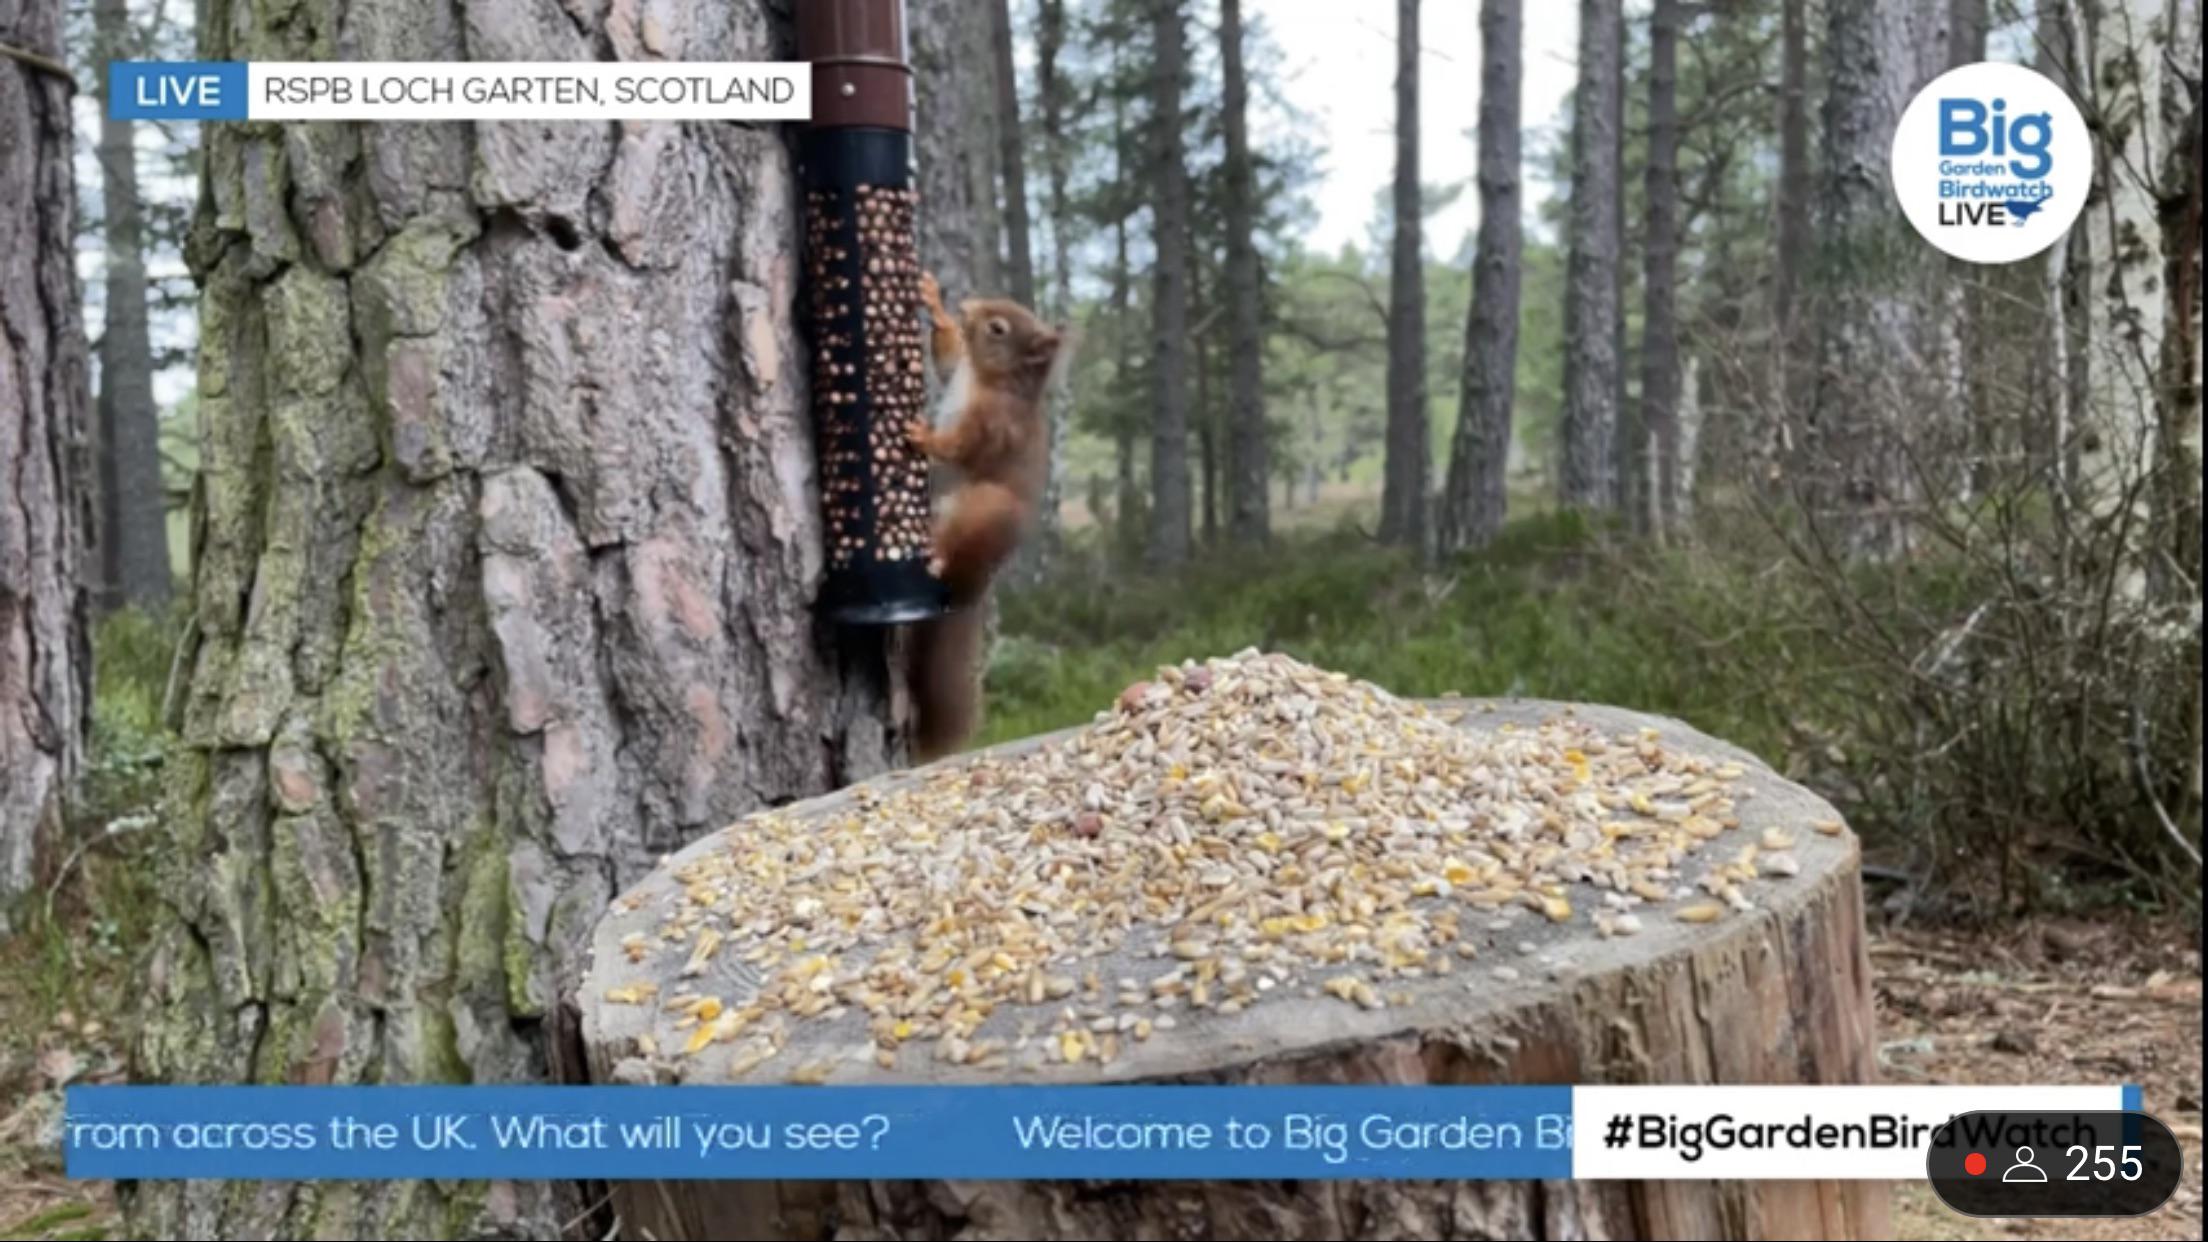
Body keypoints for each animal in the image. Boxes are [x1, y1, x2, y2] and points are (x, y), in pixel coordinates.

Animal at [906, 272, 1070, 761]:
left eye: (998, 329)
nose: (967, 308)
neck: (984, 376)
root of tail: (970, 587)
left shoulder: (991, 426)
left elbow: (960, 446)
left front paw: (925, 437)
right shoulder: (954, 370)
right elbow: (944, 358)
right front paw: (936, 306)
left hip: (986, 506)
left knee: (956, 547)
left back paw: (938, 557)